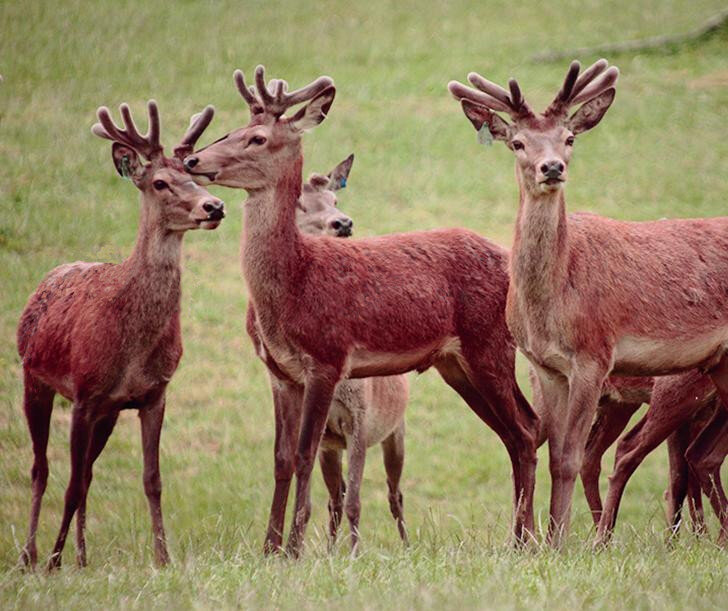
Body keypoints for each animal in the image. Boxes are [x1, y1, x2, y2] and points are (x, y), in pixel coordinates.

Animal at [17, 100, 223, 570]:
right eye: (160, 182)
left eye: (197, 175)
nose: (214, 206)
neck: (133, 345)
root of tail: (49, 276)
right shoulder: (84, 393)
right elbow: (70, 484)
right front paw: (52, 561)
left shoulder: (152, 394)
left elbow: (152, 479)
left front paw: (163, 557)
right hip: (33, 377)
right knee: (42, 468)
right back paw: (31, 554)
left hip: (107, 411)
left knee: (89, 472)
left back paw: (82, 557)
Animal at [246, 155, 410, 550]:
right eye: (298, 203)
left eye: (335, 200)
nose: (344, 222)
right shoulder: (327, 438)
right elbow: (322, 497)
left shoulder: (362, 419)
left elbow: (356, 502)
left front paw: (355, 553)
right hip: (334, 448)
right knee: (336, 497)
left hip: (396, 432)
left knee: (394, 494)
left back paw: (406, 544)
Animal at [449, 58, 728, 547]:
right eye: (518, 142)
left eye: (569, 137)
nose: (552, 167)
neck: (554, 303)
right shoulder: (546, 366)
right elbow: (557, 451)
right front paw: (550, 541)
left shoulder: (594, 356)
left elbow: (568, 457)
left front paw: (558, 543)